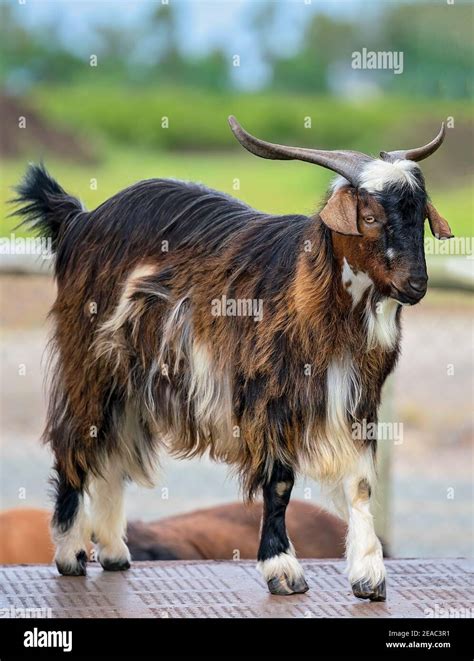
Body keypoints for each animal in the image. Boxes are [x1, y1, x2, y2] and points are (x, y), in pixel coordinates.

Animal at [13, 118, 452, 599]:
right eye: (370, 217)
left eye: (420, 216)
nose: (416, 284)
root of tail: (79, 219)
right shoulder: (270, 396)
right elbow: (279, 482)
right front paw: (283, 570)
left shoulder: (357, 396)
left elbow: (359, 484)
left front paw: (369, 576)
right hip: (89, 358)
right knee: (75, 438)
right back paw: (71, 554)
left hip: (130, 378)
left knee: (112, 450)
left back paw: (113, 552)